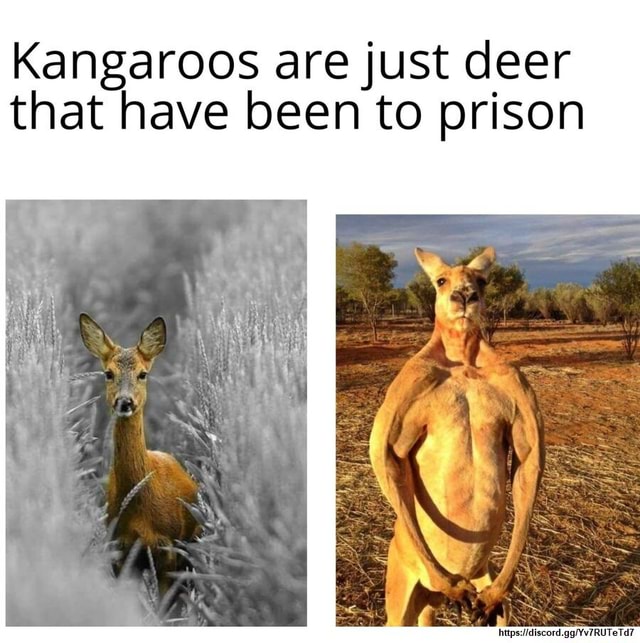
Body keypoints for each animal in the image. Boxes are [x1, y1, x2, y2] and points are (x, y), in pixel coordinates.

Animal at [369, 246, 544, 626]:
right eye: (440, 280)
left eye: (482, 280)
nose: (464, 296)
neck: (464, 360)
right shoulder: (409, 383)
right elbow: (386, 454)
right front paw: (449, 583)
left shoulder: (516, 384)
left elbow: (528, 460)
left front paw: (499, 590)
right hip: (401, 587)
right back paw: (450, 585)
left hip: (483, 588)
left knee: (494, 609)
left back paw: (484, 597)